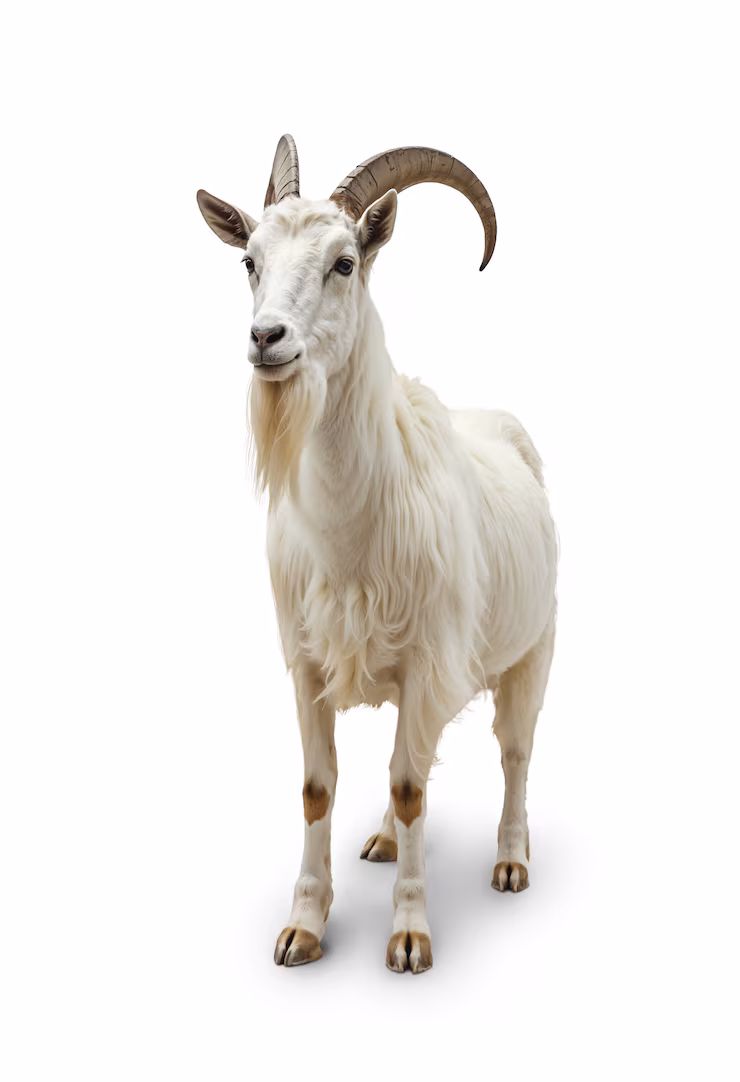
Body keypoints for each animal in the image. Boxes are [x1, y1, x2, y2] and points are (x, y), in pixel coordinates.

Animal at [197, 135, 557, 973]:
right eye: (249, 261)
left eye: (343, 262)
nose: (267, 340)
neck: (352, 528)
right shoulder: (308, 663)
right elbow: (321, 787)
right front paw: (302, 926)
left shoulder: (430, 660)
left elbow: (410, 786)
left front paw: (410, 936)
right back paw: (388, 844)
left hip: (533, 651)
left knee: (513, 752)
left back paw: (511, 860)